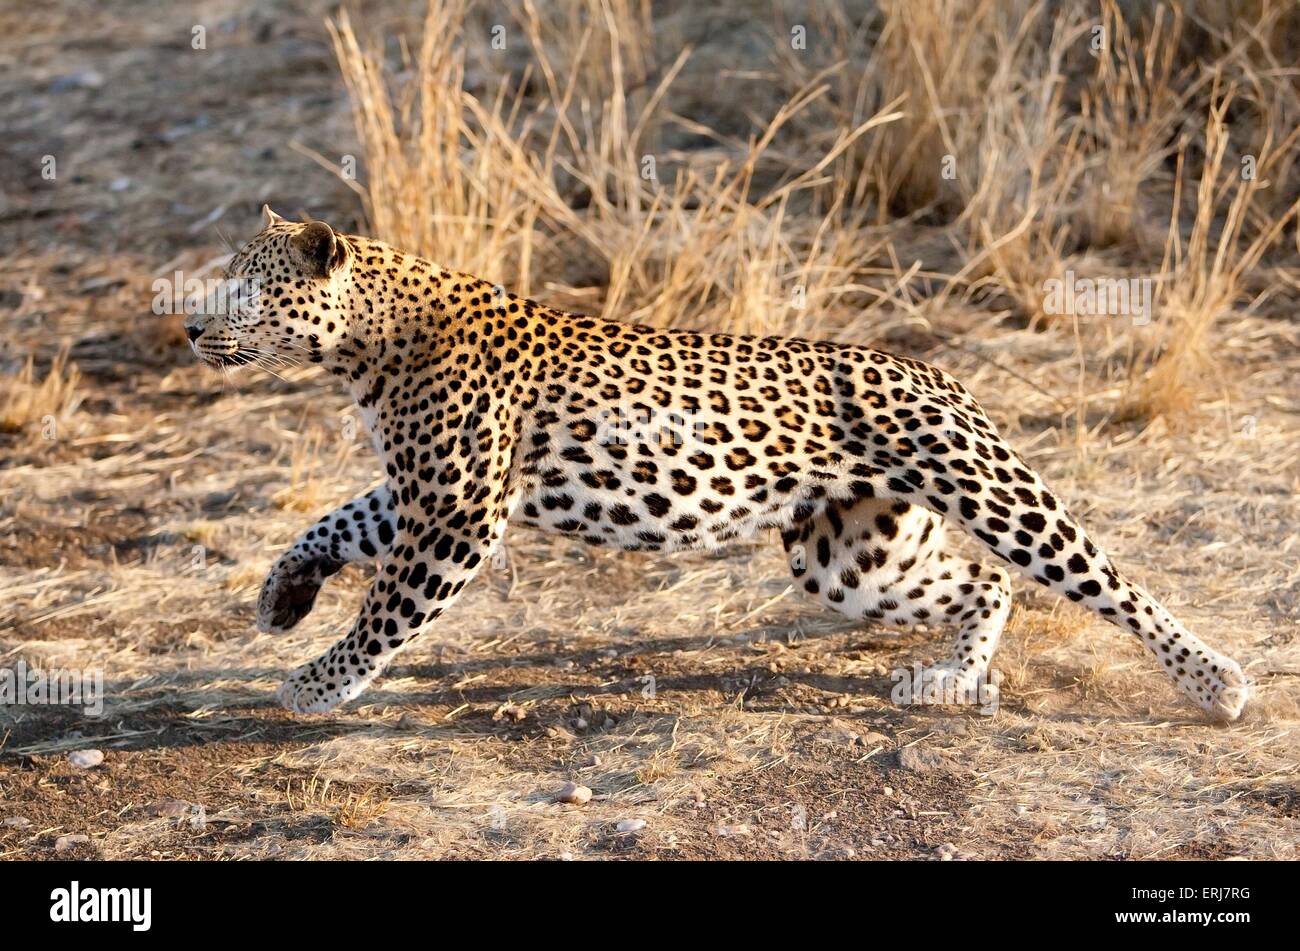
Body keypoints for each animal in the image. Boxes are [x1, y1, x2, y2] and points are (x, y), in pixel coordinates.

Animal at [185, 207, 1249, 722]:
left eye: (246, 285)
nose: (191, 326)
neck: (363, 345)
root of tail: (934, 367)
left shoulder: (455, 513)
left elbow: (385, 613)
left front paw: (315, 686)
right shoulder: (423, 493)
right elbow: (332, 524)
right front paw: (281, 597)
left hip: (986, 489)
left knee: (1108, 582)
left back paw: (1214, 681)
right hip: (849, 557)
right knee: (985, 583)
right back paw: (950, 680)